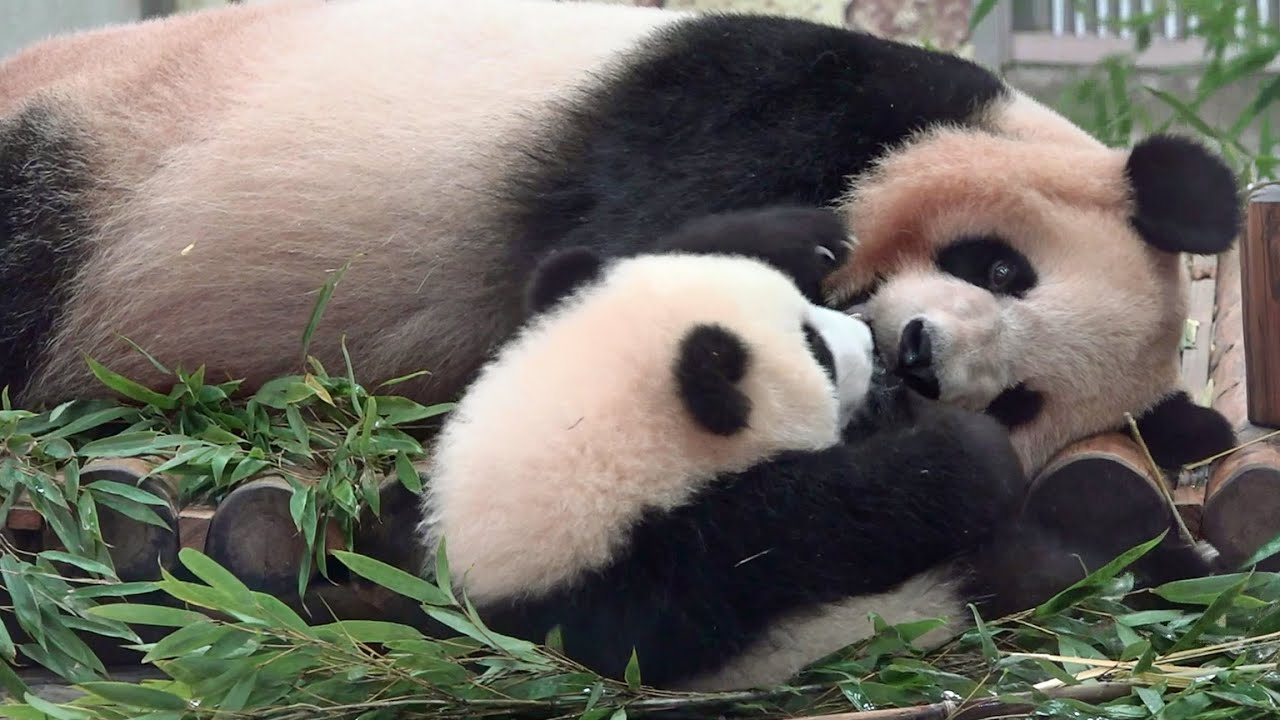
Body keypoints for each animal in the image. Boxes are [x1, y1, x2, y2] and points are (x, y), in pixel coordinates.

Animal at [0, 0, 1238, 479]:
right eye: (998, 265)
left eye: (1021, 402)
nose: (922, 356)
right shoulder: (749, 97)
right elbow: (583, 271)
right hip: (85, 151)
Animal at [417, 208, 1220, 692]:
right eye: (817, 352)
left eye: (809, 311)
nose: (872, 340)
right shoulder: (667, 580)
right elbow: (830, 523)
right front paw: (968, 451)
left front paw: (807, 233)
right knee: (1053, 565)